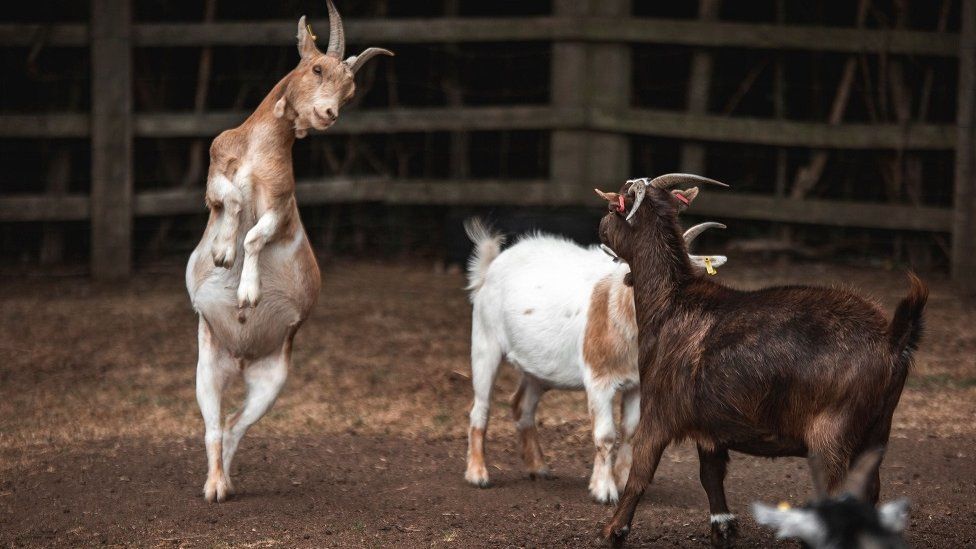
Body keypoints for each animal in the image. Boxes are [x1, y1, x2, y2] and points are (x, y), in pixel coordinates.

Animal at [185, 0, 392, 503]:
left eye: (350, 91)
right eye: (316, 67)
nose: (329, 113)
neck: (258, 152)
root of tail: (240, 357)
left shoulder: (281, 208)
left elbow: (257, 235)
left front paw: (247, 293)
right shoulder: (213, 181)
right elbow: (230, 200)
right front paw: (222, 253)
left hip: (272, 381)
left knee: (235, 425)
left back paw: (225, 483)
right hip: (206, 365)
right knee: (214, 424)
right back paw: (213, 488)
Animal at [463, 216, 726, 504]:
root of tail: (491, 265)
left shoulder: (637, 384)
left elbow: (630, 432)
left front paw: (621, 482)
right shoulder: (598, 380)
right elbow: (606, 435)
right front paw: (603, 490)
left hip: (539, 367)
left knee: (522, 405)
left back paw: (538, 468)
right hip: (485, 340)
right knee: (481, 407)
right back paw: (478, 474)